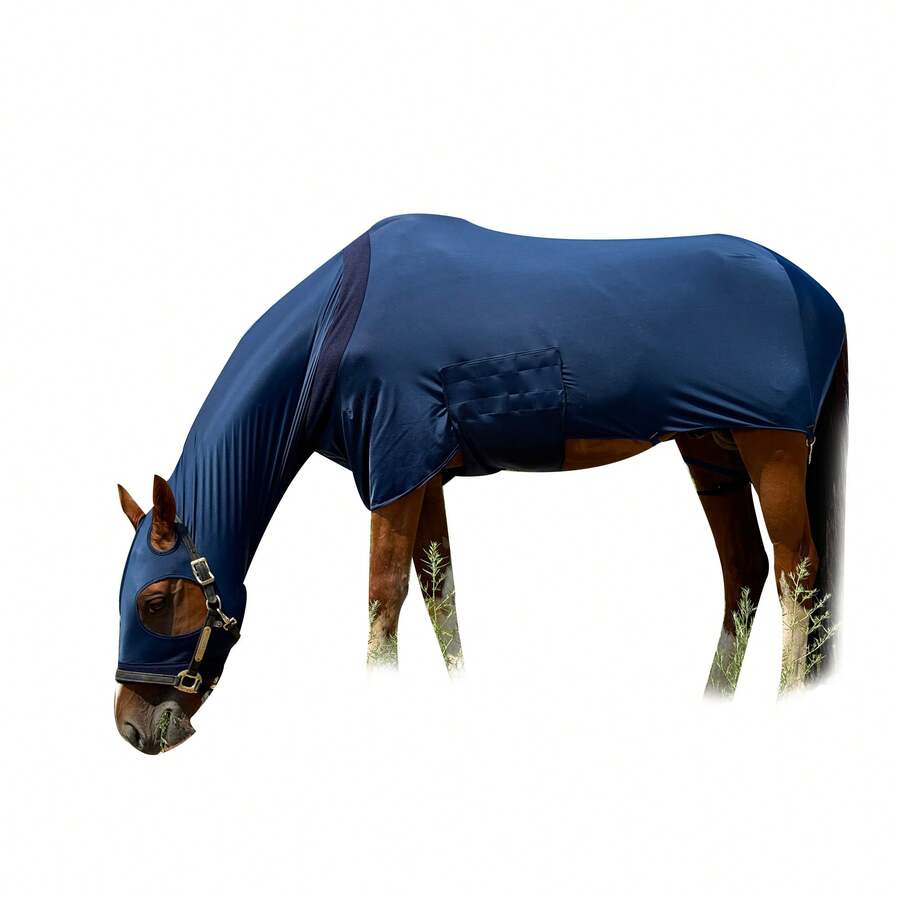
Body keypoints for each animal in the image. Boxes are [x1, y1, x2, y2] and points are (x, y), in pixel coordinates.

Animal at [114, 214, 848, 754]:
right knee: (745, 572)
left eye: (154, 600)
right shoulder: (422, 477)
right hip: (710, 451)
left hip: (773, 448)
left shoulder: (395, 468)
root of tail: (814, 293)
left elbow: (384, 599)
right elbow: (439, 594)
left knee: (797, 573)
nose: (131, 727)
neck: (337, 325)